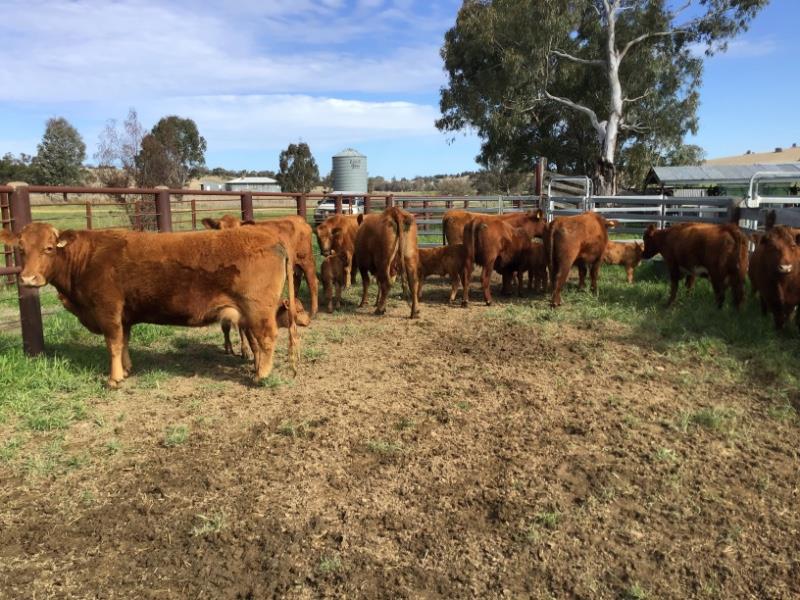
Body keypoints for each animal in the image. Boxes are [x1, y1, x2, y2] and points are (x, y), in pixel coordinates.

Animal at [1, 223, 298, 387]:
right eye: (21, 249)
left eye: (49, 248)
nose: (27, 279)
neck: (87, 258)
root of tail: (271, 237)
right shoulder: (124, 315)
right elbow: (124, 341)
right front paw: (126, 368)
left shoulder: (108, 309)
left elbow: (112, 343)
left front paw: (114, 378)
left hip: (258, 309)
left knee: (268, 338)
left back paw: (261, 376)